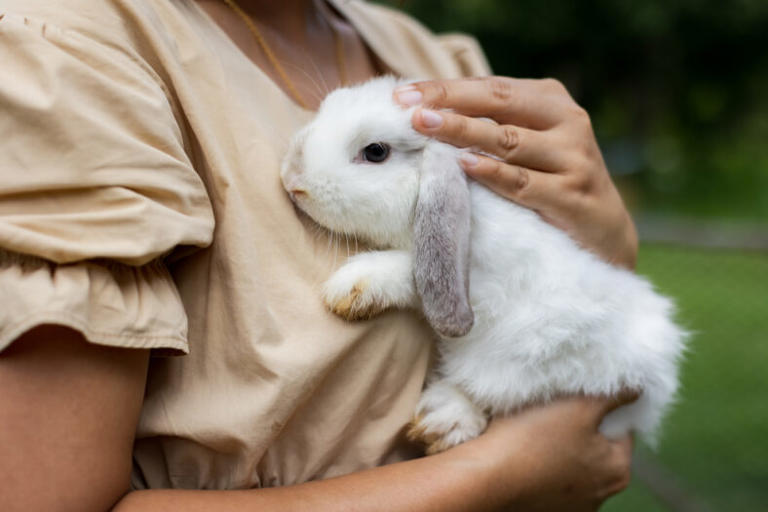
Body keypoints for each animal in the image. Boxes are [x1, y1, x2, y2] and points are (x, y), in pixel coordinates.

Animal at [280, 76, 687, 454]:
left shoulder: (488, 281)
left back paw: (443, 420)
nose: (292, 178)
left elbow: (414, 269)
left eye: (375, 151)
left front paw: (350, 287)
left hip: (544, 350)